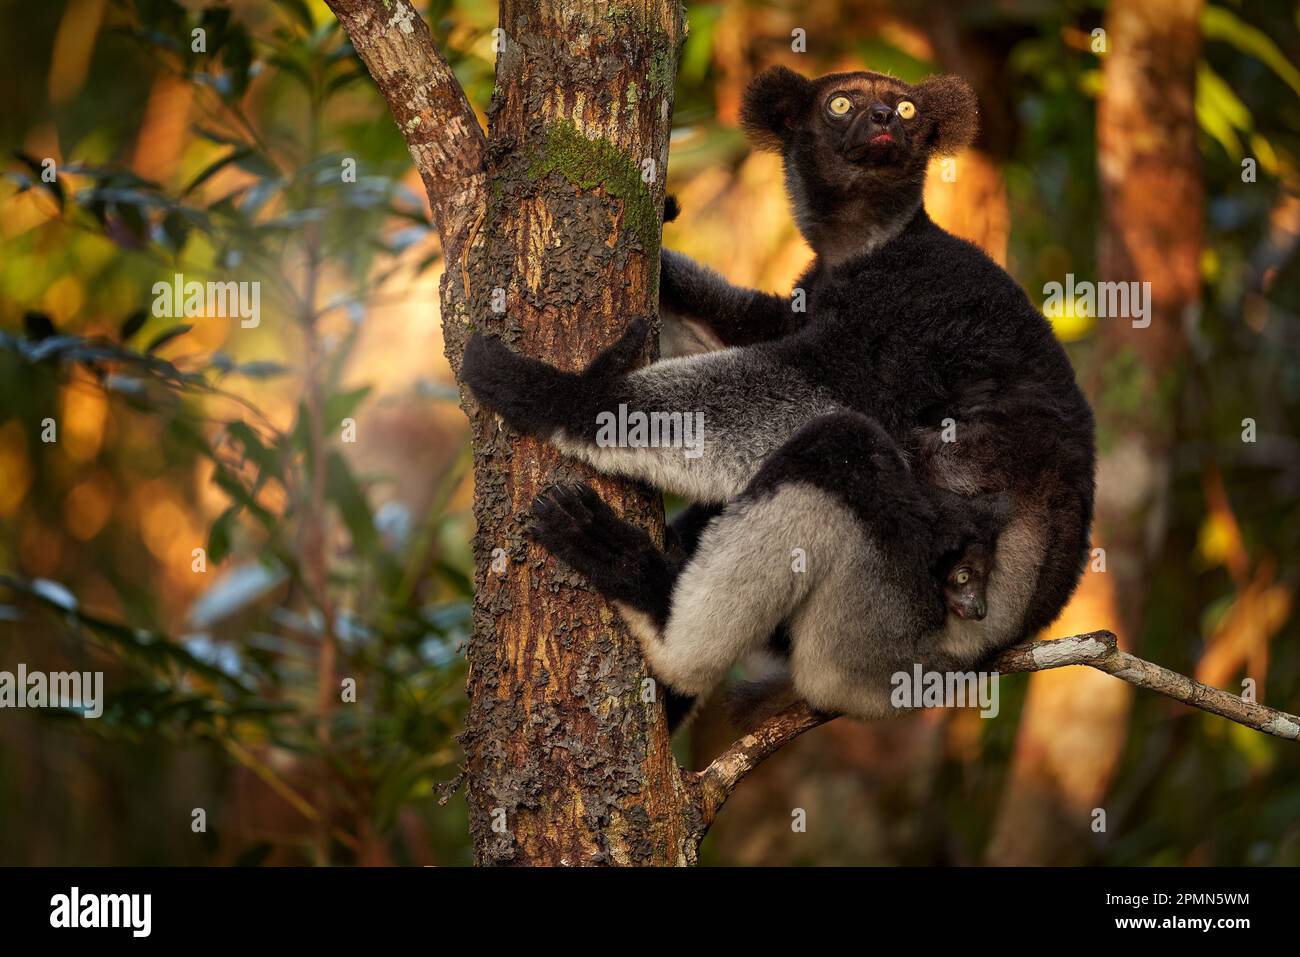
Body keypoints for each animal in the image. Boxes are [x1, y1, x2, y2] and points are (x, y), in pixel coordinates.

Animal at [460, 66, 1096, 724]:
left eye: (906, 109)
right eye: (841, 104)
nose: (884, 122)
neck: (867, 245)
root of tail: (984, 654)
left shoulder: (923, 298)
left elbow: (822, 384)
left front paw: (550, 392)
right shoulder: (812, 286)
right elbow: (744, 327)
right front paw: (663, 235)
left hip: (893, 632)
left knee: (840, 452)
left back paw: (653, 607)